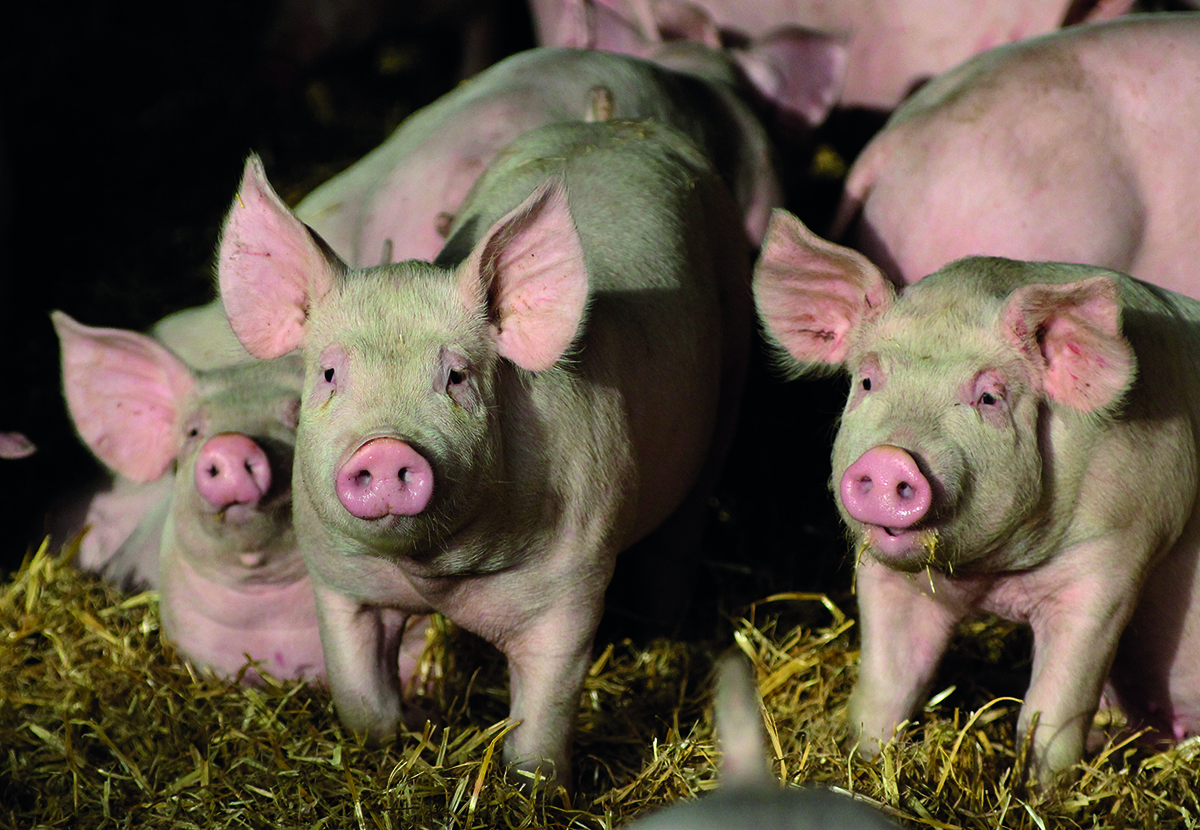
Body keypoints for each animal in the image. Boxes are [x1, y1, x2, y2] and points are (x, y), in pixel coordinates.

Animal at [217, 116, 751, 786]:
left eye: (457, 376)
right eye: (331, 373)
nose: (386, 448)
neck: (437, 576)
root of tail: (607, 119)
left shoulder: (573, 581)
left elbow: (543, 716)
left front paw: (534, 787)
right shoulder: (338, 580)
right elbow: (361, 699)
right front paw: (391, 740)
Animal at [753, 209, 1200, 786]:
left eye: (988, 396)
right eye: (868, 381)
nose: (890, 458)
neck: (992, 580)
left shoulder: (1115, 556)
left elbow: (1053, 708)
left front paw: (1040, 788)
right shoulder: (885, 575)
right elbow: (887, 685)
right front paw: (866, 760)